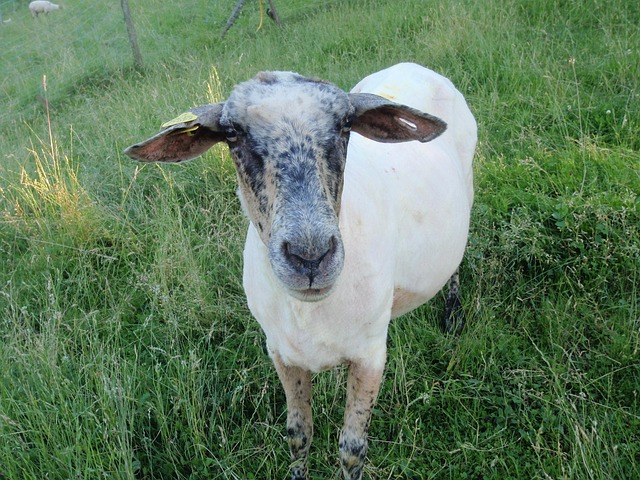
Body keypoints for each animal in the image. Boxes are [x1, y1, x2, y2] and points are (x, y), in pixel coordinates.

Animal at [124, 62, 477, 480]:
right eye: (232, 133)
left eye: (345, 124)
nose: (310, 257)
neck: (312, 313)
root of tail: (412, 65)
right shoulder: (281, 353)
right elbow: (298, 433)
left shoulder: (371, 355)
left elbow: (352, 448)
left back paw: (453, 315)